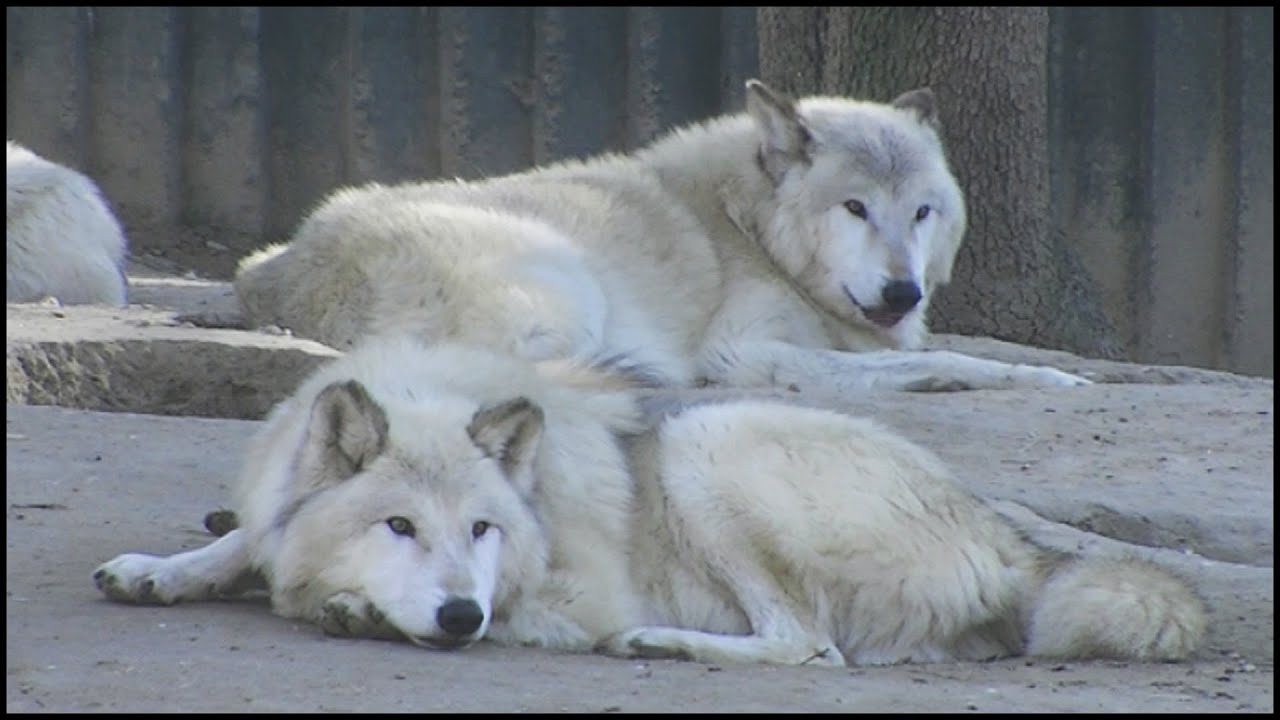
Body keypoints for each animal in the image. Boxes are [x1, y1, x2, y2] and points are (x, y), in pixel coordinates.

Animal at [94, 337, 1204, 666]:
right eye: (399, 526)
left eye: (482, 531)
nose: (457, 615)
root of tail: (1005, 535)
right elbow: (249, 541)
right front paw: (160, 570)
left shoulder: (566, 595)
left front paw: (352, 607)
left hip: (709, 443)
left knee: (807, 648)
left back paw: (663, 645)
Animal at [235, 80, 1089, 394]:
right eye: (855, 208)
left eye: (921, 212)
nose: (904, 290)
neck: (751, 228)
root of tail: (274, 276)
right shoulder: (739, 352)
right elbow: (936, 361)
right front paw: (1040, 377)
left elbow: (922, 354)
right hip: (565, 287)